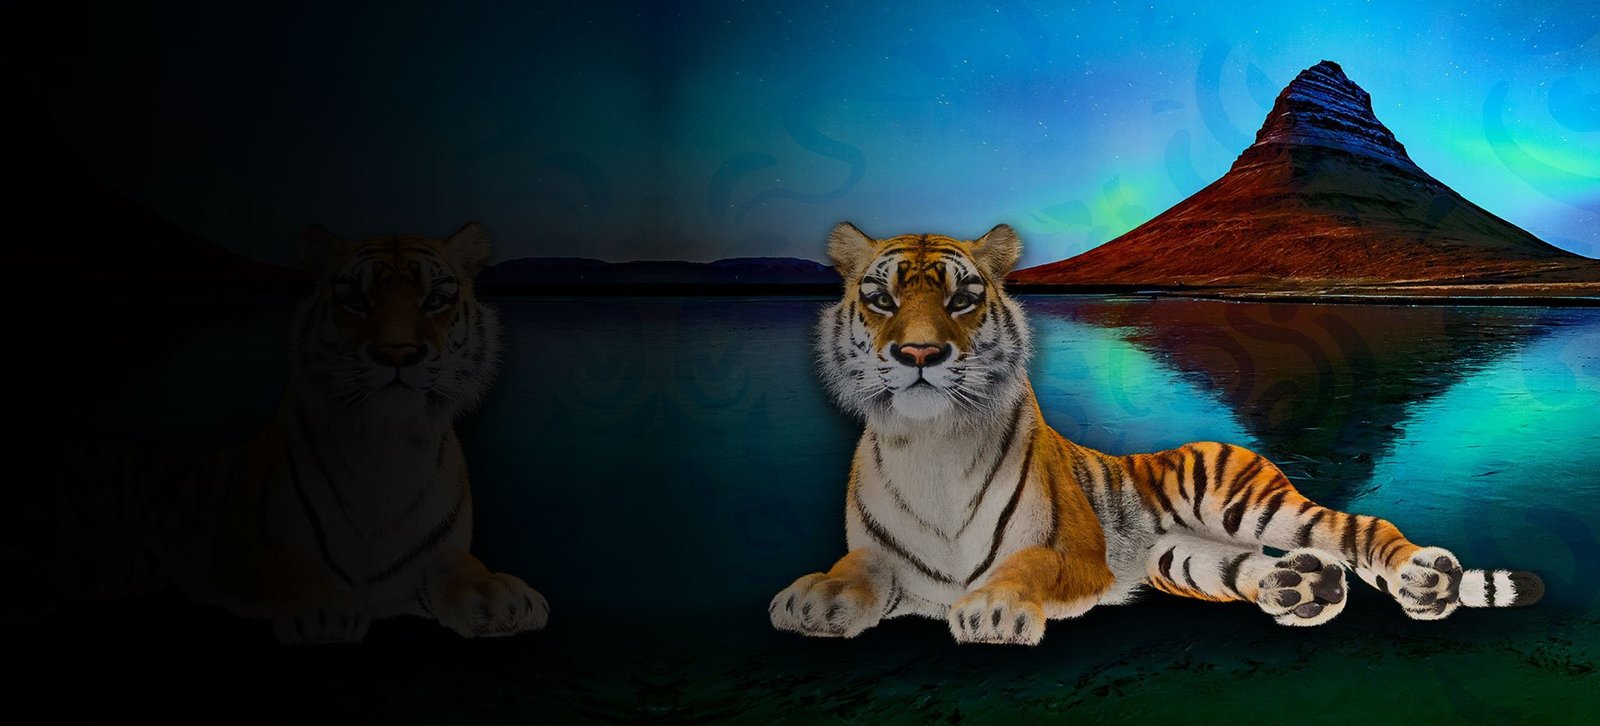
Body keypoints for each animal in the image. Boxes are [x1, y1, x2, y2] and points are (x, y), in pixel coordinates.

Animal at [11, 223, 547, 644]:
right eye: (355, 299)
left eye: (435, 299)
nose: (397, 353)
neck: (386, 444)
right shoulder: (231, 551)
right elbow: (286, 569)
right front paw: (324, 609)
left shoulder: (438, 554)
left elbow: (463, 566)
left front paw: (502, 597)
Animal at [768, 222, 1544, 645]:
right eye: (880, 296)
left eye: (962, 297)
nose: (921, 354)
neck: (931, 446)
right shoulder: (882, 555)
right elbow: (858, 568)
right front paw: (813, 599)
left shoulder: (1074, 553)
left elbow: (1023, 568)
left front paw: (992, 609)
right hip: (1182, 558)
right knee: (1252, 570)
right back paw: (1302, 588)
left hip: (1248, 504)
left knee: (1358, 528)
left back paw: (1422, 579)